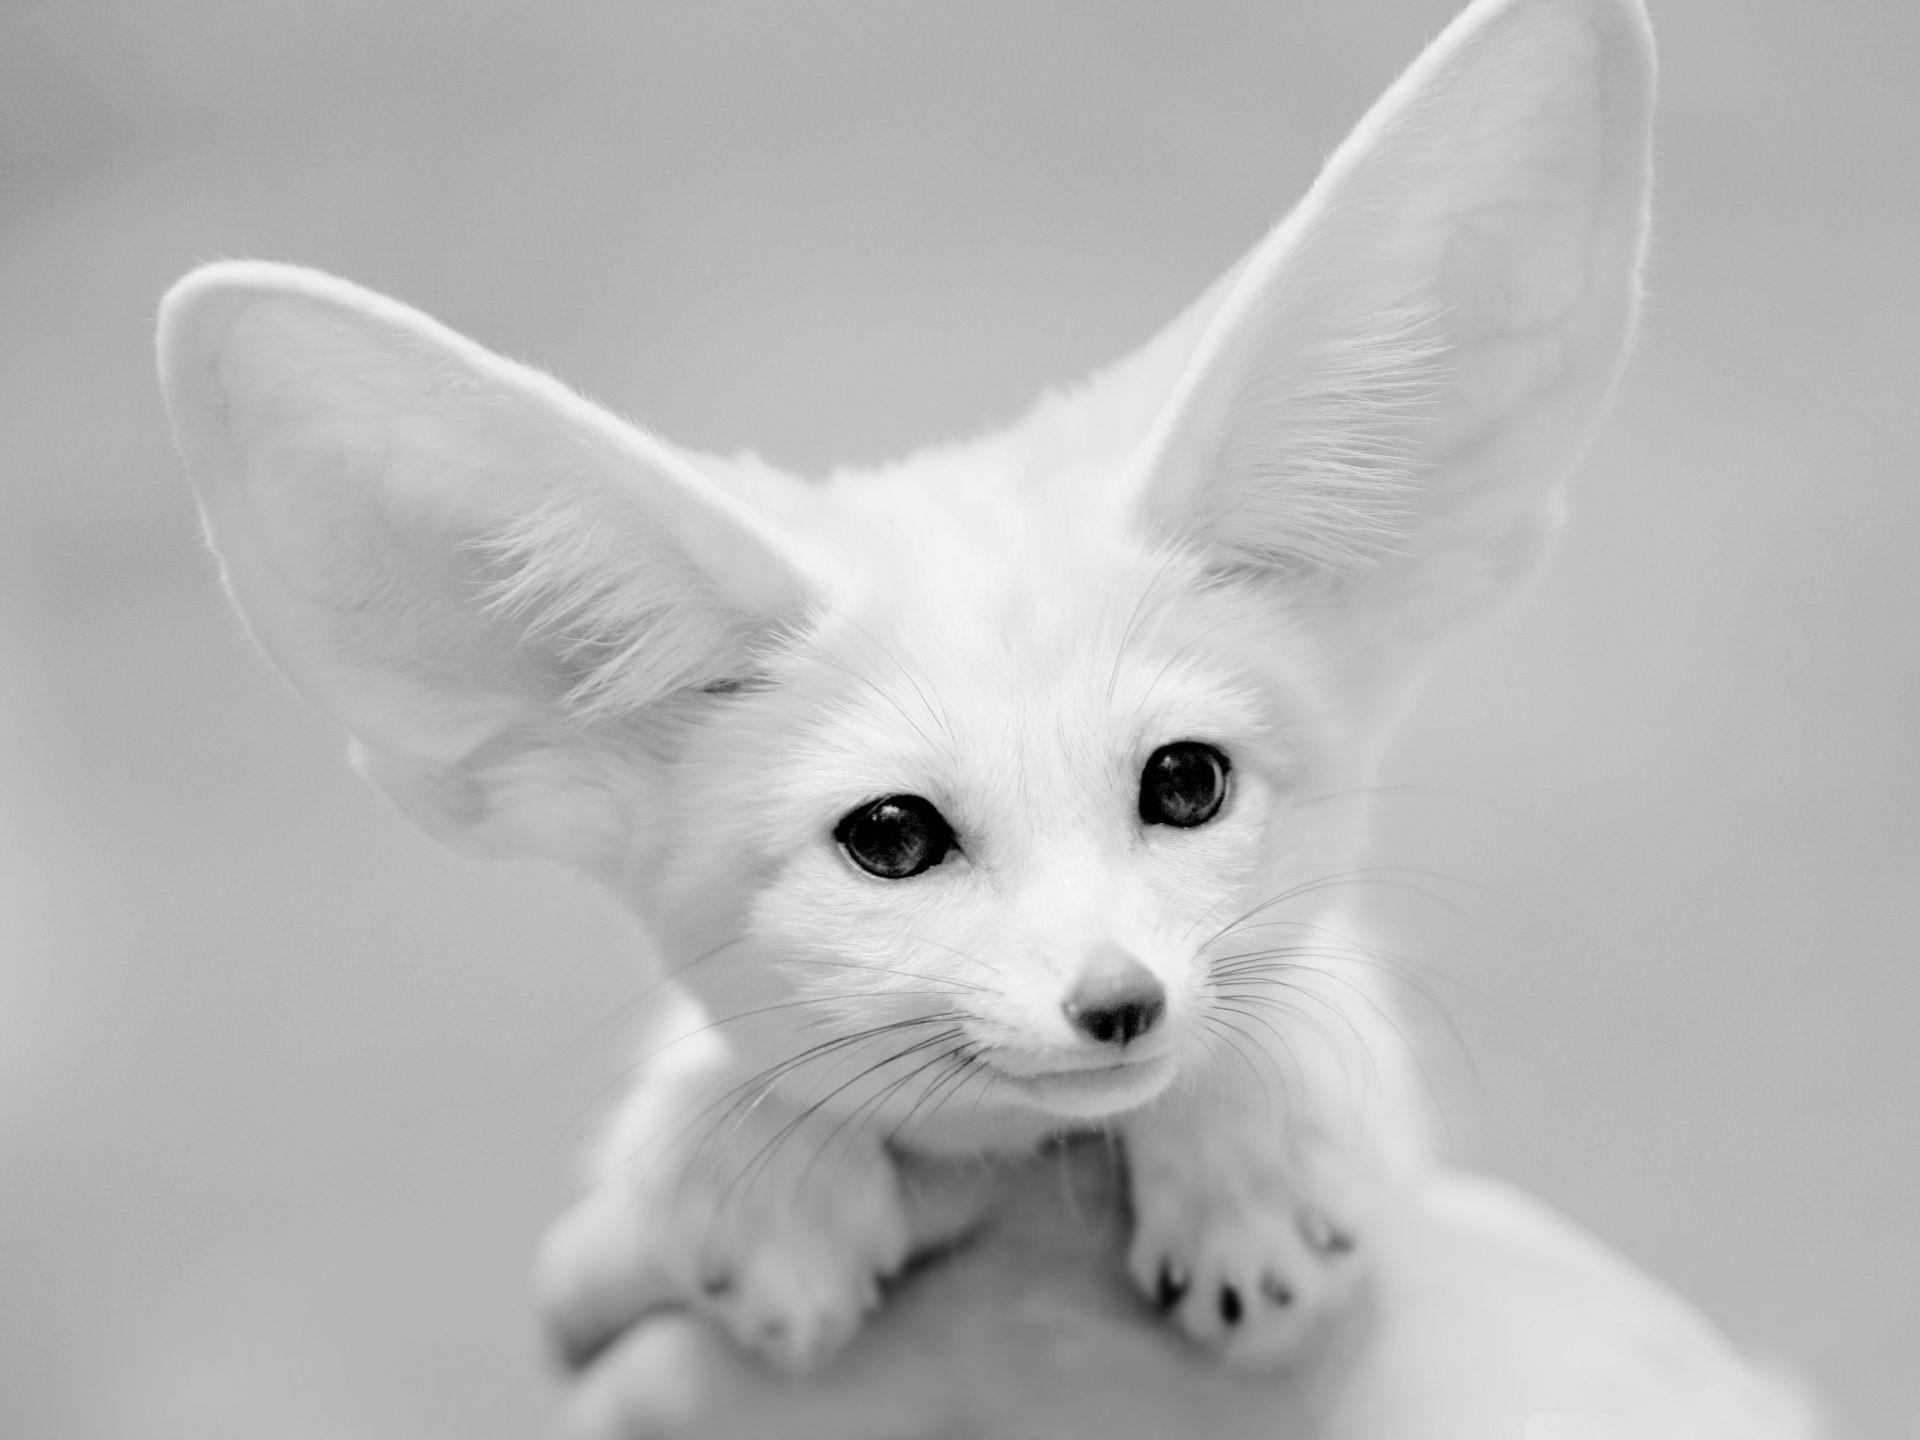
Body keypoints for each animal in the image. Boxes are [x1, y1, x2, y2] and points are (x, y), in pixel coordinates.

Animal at [158, 0, 1652, 1382]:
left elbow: (1292, 1002)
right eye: (891, 837)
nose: (1120, 1004)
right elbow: (713, 1088)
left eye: (1186, 781)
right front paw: (764, 1172)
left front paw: (1251, 1157)